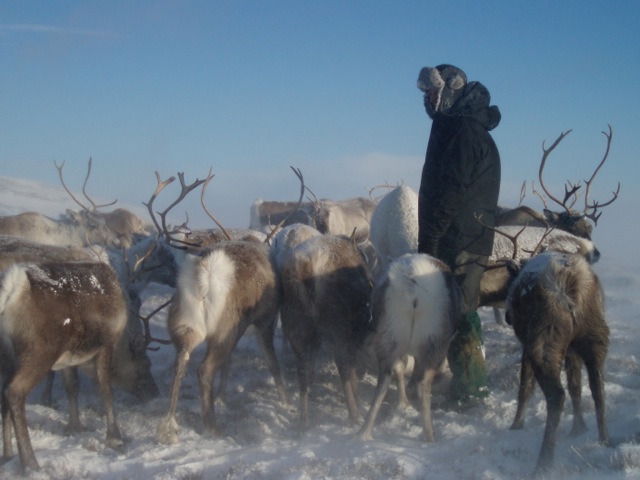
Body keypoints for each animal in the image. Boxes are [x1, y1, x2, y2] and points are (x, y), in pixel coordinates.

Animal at [0, 261, 127, 472]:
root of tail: (13, 287)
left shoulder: (68, 358)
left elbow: (72, 386)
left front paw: (75, 427)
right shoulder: (107, 344)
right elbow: (106, 390)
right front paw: (115, 439)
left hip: (8, 358)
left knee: (3, 395)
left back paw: (8, 457)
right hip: (38, 352)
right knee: (14, 392)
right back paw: (31, 463)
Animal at [356, 253, 461, 442]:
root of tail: (413, 289)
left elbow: (400, 369)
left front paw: (402, 404)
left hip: (389, 340)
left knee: (384, 378)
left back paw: (364, 432)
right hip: (433, 345)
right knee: (423, 382)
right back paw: (430, 436)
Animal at [504, 251, 610, 475]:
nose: (508, 316)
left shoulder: (526, 347)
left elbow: (525, 387)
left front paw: (516, 424)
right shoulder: (572, 349)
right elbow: (575, 386)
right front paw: (579, 428)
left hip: (544, 342)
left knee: (556, 395)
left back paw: (543, 462)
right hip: (595, 336)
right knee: (598, 388)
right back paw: (604, 439)